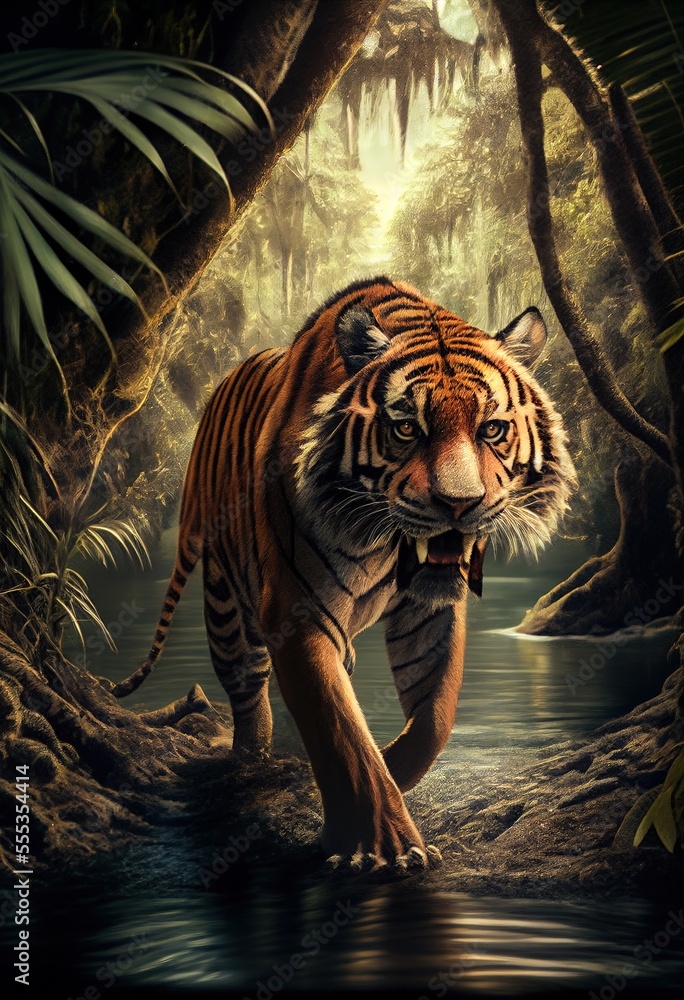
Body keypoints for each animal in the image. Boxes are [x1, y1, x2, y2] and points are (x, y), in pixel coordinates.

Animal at [111, 277, 575, 871]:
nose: (459, 505)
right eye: (407, 428)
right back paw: (251, 765)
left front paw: (392, 771)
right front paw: (384, 848)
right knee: (247, 697)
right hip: (224, 603)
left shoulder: (428, 615)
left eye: (491, 429)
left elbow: (435, 719)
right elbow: (338, 728)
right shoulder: (298, 611)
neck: (385, 547)